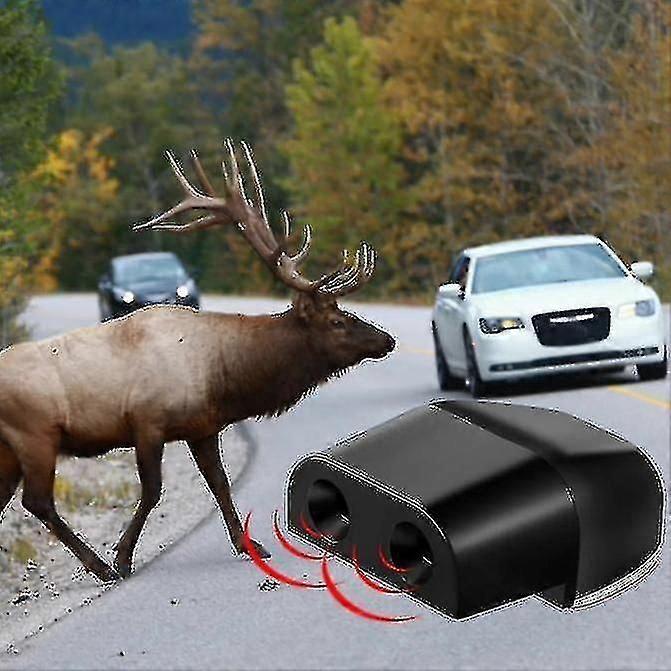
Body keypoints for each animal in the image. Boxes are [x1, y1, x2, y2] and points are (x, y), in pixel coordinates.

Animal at [0, 139, 395, 582]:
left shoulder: (202, 427)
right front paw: (122, 556)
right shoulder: (147, 421)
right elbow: (153, 491)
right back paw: (100, 566)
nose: (387, 340)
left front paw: (248, 544)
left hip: (8, 451)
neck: (222, 376)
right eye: (336, 321)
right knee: (37, 502)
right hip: (34, 436)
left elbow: (219, 484)